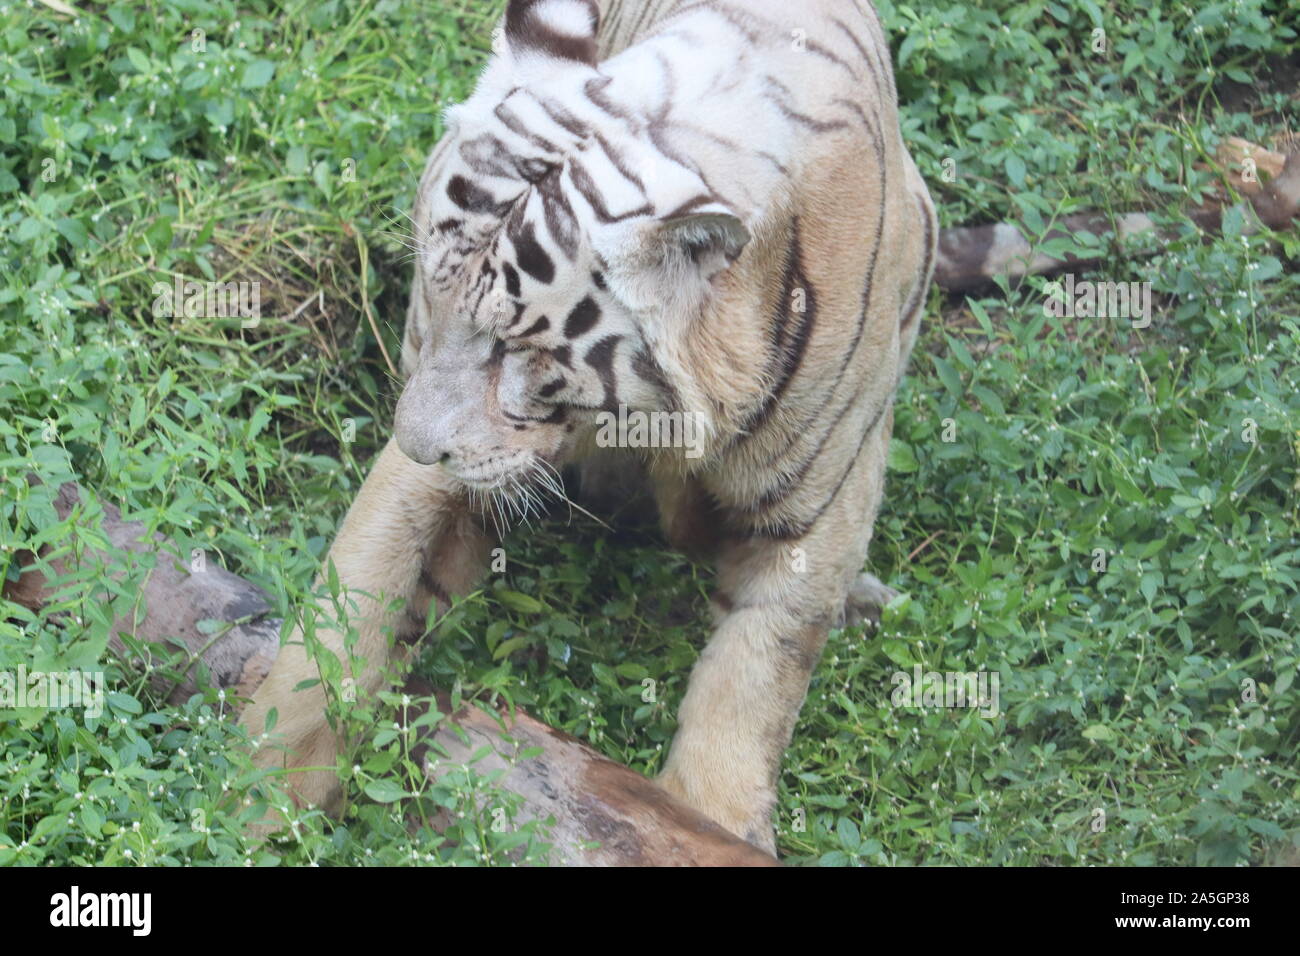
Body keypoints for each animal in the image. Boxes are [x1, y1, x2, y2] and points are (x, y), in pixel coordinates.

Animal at [242, 0, 937, 856]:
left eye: (512, 345)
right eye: (432, 293)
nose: (415, 441)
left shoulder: (817, 509)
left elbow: (754, 676)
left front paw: (708, 825)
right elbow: (355, 602)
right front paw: (265, 794)